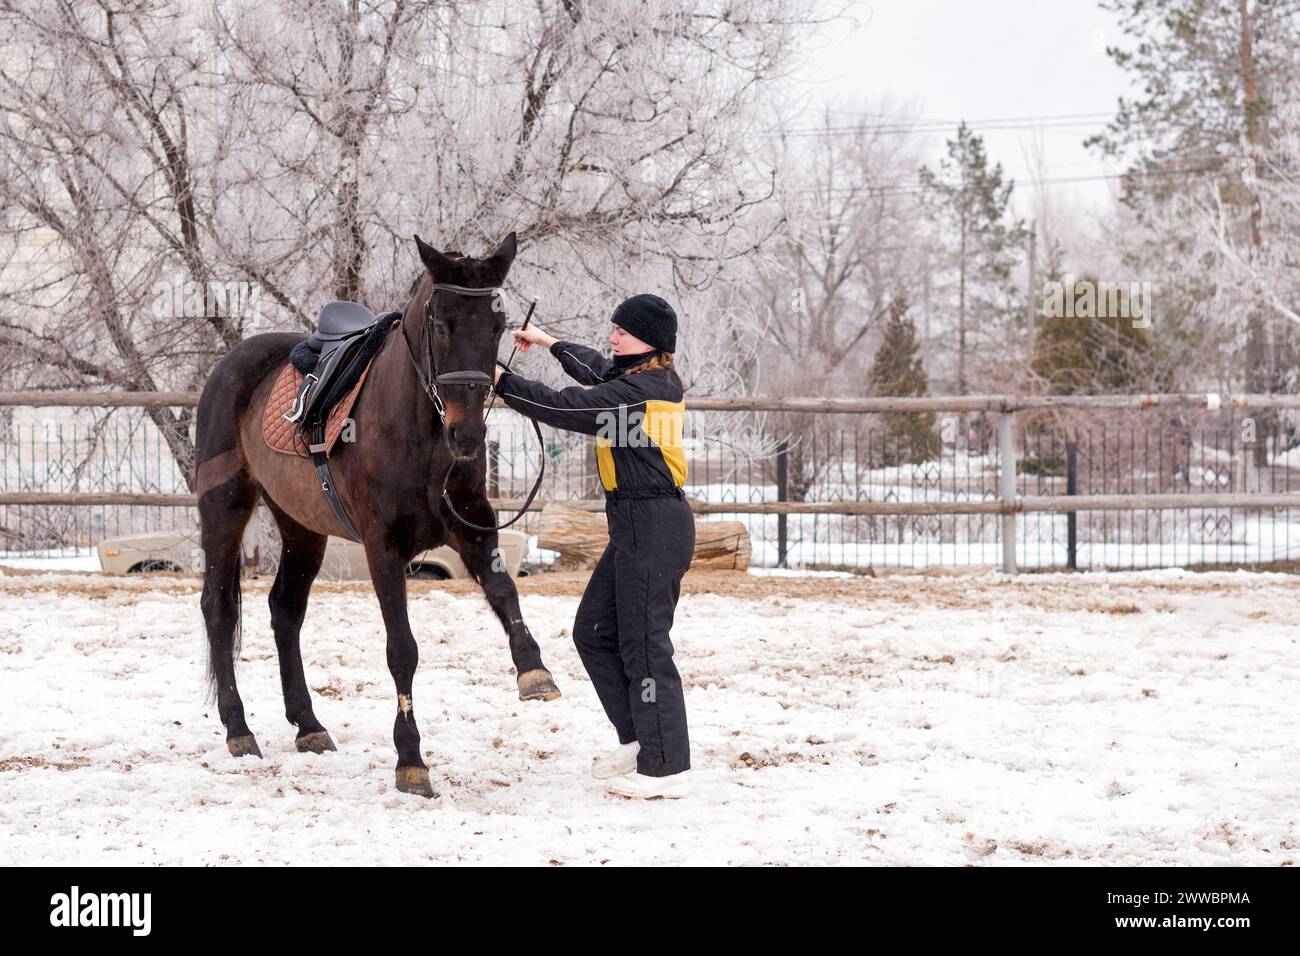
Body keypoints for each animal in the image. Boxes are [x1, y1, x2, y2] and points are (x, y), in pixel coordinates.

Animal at [193, 232, 559, 798]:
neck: (421, 434)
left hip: (301, 526)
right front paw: (410, 759)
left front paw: (533, 669)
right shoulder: (382, 547)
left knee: (285, 610)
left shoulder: (472, 523)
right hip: (224, 508)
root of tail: (231, 364)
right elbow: (402, 649)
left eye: (498, 326)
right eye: (441, 324)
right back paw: (239, 730)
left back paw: (308, 725)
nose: (468, 433)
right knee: (219, 608)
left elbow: (504, 590)